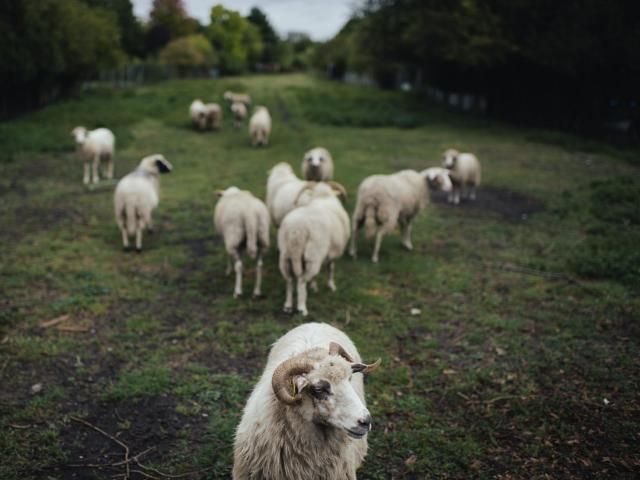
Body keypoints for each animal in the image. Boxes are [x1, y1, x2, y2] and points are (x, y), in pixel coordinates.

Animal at [278, 182, 349, 316]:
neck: (323, 197)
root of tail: (296, 229)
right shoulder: (332, 253)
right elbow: (331, 268)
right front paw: (331, 285)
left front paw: (314, 286)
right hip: (312, 255)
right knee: (301, 281)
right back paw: (302, 308)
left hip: (286, 255)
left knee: (289, 280)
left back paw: (288, 306)